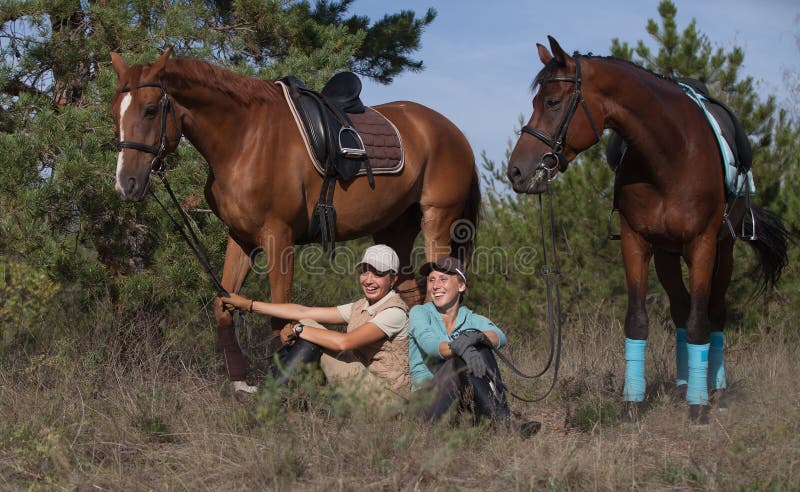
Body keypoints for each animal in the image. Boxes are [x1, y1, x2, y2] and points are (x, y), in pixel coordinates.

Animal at [109, 48, 480, 392]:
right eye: (115, 111)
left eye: (150, 109)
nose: (126, 183)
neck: (244, 139)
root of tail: (452, 131)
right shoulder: (241, 238)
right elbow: (224, 306)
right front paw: (240, 383)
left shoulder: (279, 237)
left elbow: (281, 315)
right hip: (393, 228)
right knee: (408, 293)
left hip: (437, 220)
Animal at [506, 36, 789, 422]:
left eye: (552, 102)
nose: (517, 171)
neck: (670, 155)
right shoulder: (635, 242)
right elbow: (639, 320)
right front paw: (633, 402)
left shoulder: (703, 245)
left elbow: (701, 322)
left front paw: (698, 408)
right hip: (667, 256)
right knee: (680, 309)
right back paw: (684, 383)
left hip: (723, 253)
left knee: (714, 314)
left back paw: (714, 388)